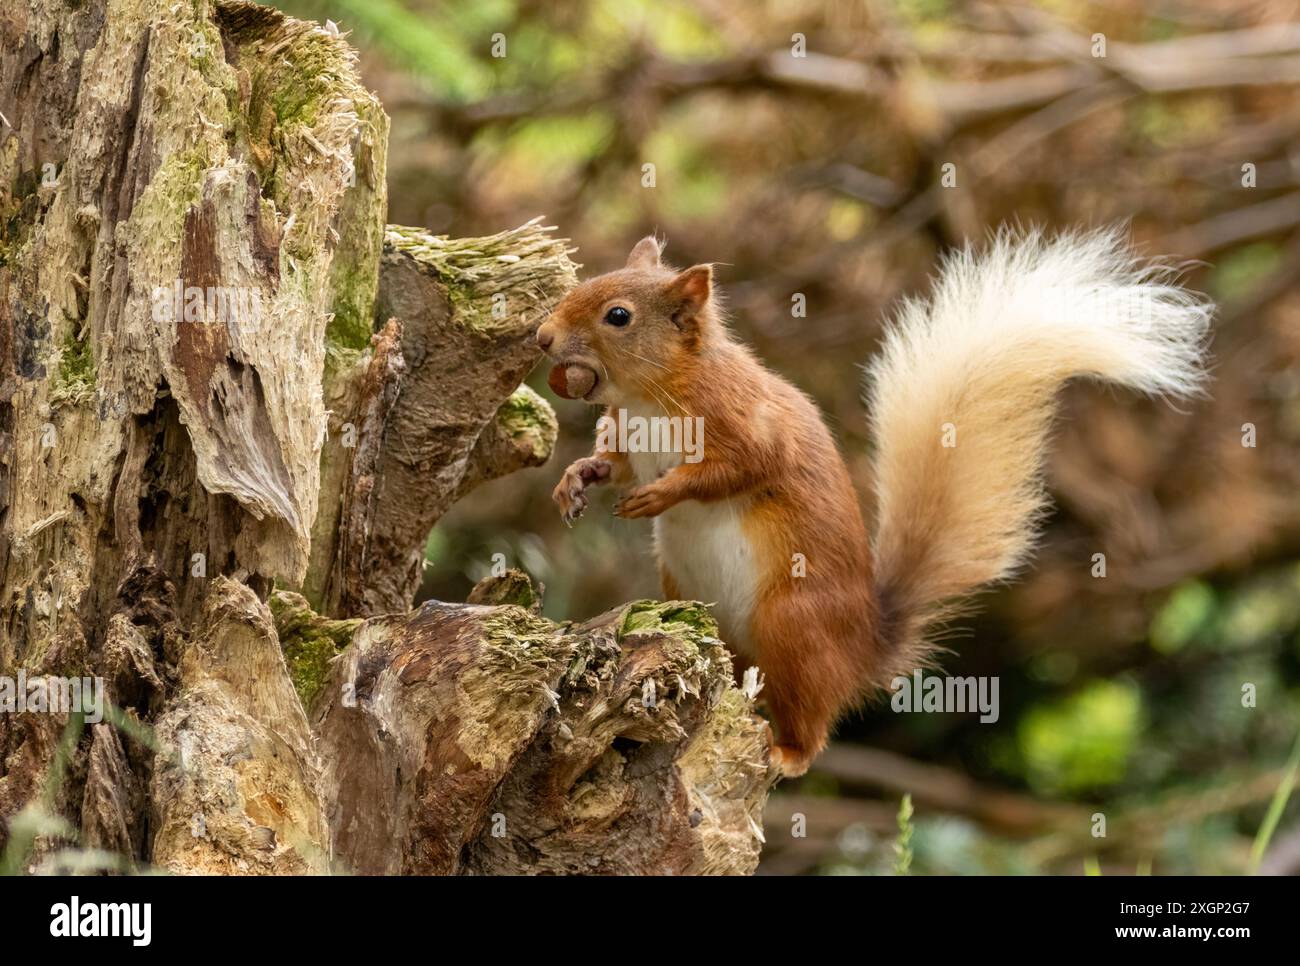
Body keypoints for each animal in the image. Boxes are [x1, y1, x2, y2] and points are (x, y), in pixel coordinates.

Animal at [536, 228, 1211, 777]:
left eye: (618, 315)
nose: (542, 337)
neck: (650, 394)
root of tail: (863, 645)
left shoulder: (744, 424)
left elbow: (737, 470)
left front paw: (662, 493)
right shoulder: (628, 433)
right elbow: (616, 464)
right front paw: (575, 480)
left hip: (794, 624)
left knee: (810, 720)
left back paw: (786, 752)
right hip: (693, 601)